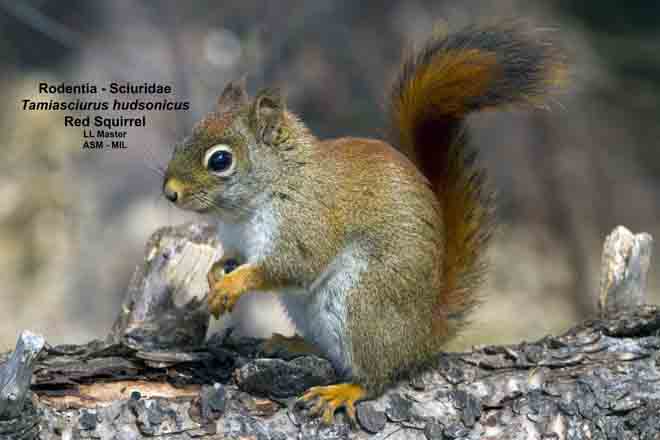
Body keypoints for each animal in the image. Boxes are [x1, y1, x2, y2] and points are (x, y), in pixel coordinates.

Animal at [163, 23, 566, 424]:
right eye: (180, 142)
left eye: (220, 161)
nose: (169, 193)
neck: (250, 205)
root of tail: (424, 335)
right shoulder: (238, 241)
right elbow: (230, 258)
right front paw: (216, 274)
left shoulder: (308, 221)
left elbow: (291, 266)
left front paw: (232, 285)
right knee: (331, 351)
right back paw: (292, 343)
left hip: (362, 302)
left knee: (376, 375)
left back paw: (343, 391)